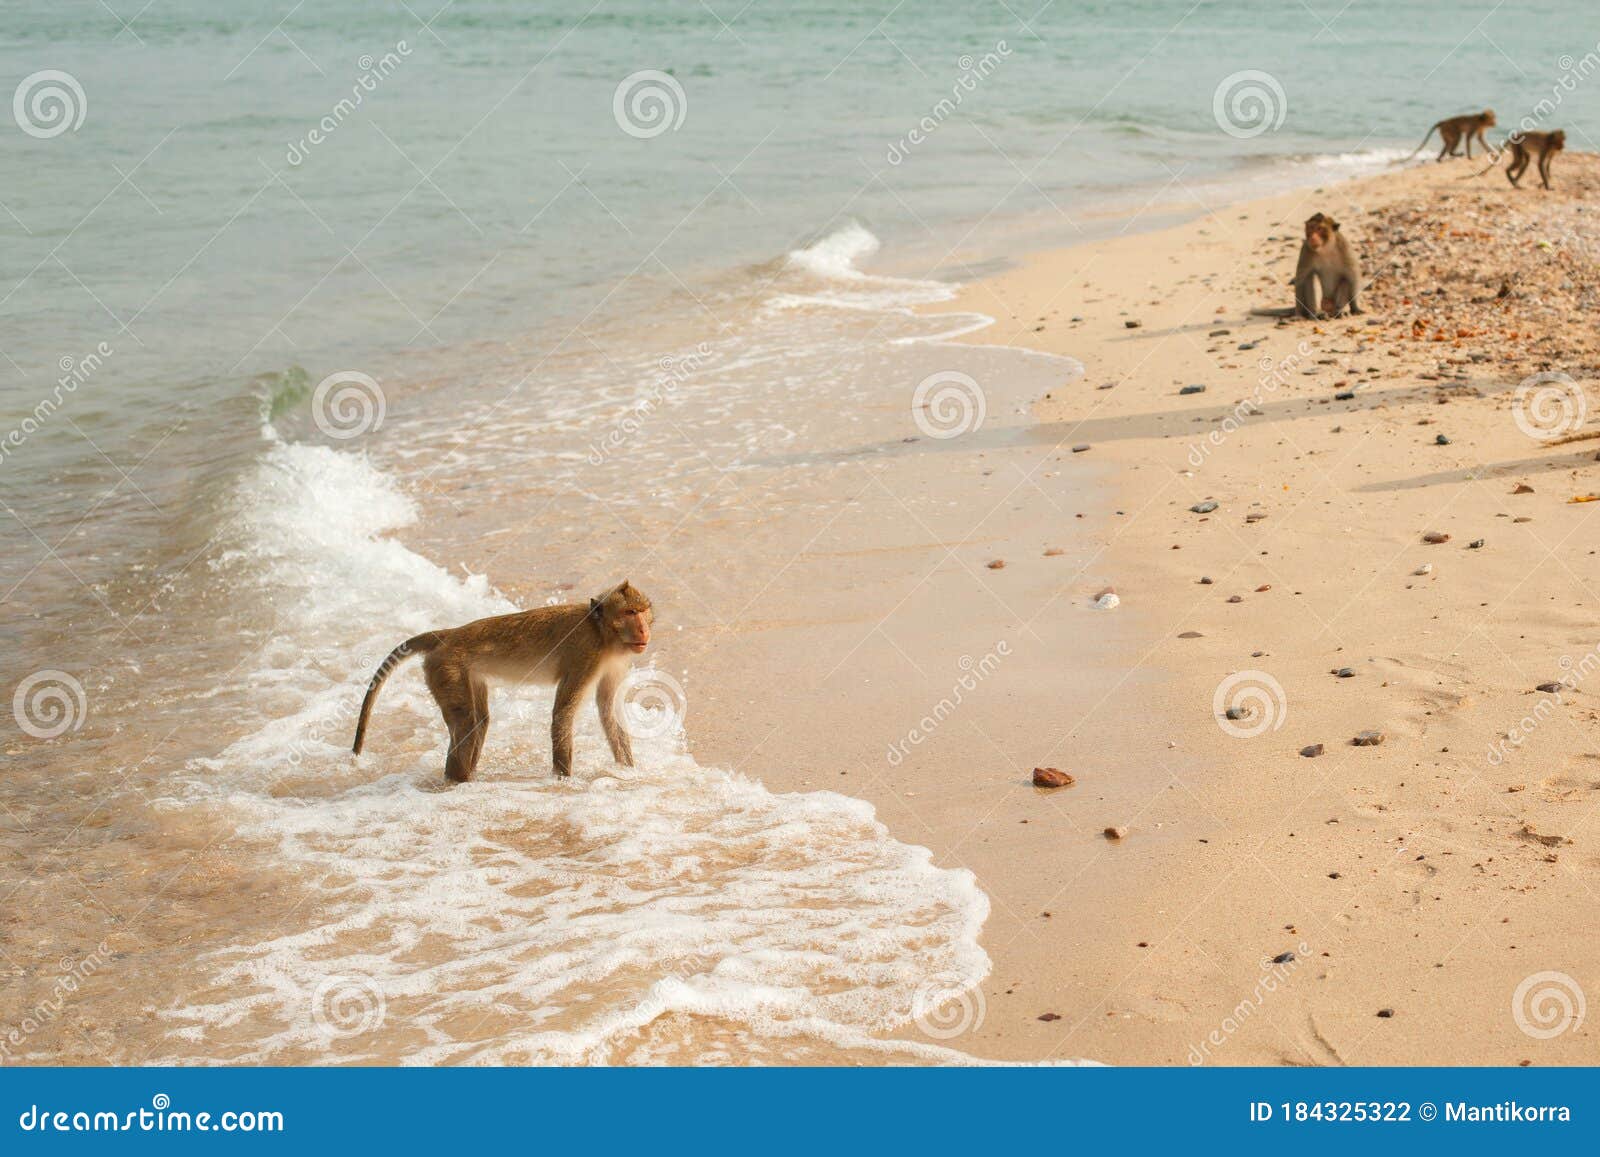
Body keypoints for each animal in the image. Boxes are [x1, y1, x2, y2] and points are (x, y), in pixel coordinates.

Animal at [352, 581, 654, 783]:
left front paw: (628, 770)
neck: (602, 633)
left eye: (641, 611)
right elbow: (563, 713)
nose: (643, 630)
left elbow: (608, 710)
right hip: (446, 667)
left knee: (479, 720)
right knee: (466, 722)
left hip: (464, 672)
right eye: (629, 613)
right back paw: (459, 780)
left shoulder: (616, 662)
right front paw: (563, 780)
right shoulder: (586, 653)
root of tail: (449, 634)